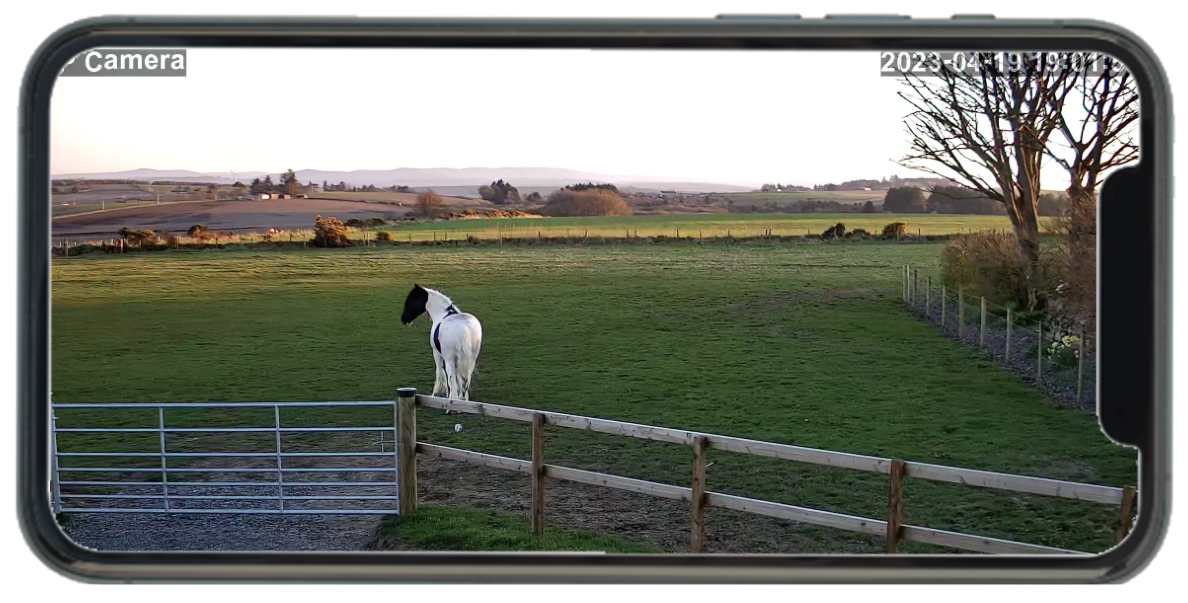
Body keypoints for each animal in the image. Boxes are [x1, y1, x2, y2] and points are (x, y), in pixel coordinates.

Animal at [400, 284, 483, 414]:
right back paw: (463, 402)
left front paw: (437, 394)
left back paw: (452, 407)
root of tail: (464, 329)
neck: (442, 314)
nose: (403, 319)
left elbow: (440, 372)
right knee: (465, 380)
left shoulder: (437, 354)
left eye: (411, 300)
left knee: (451, 379)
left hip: (449, 360)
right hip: (471, 360)